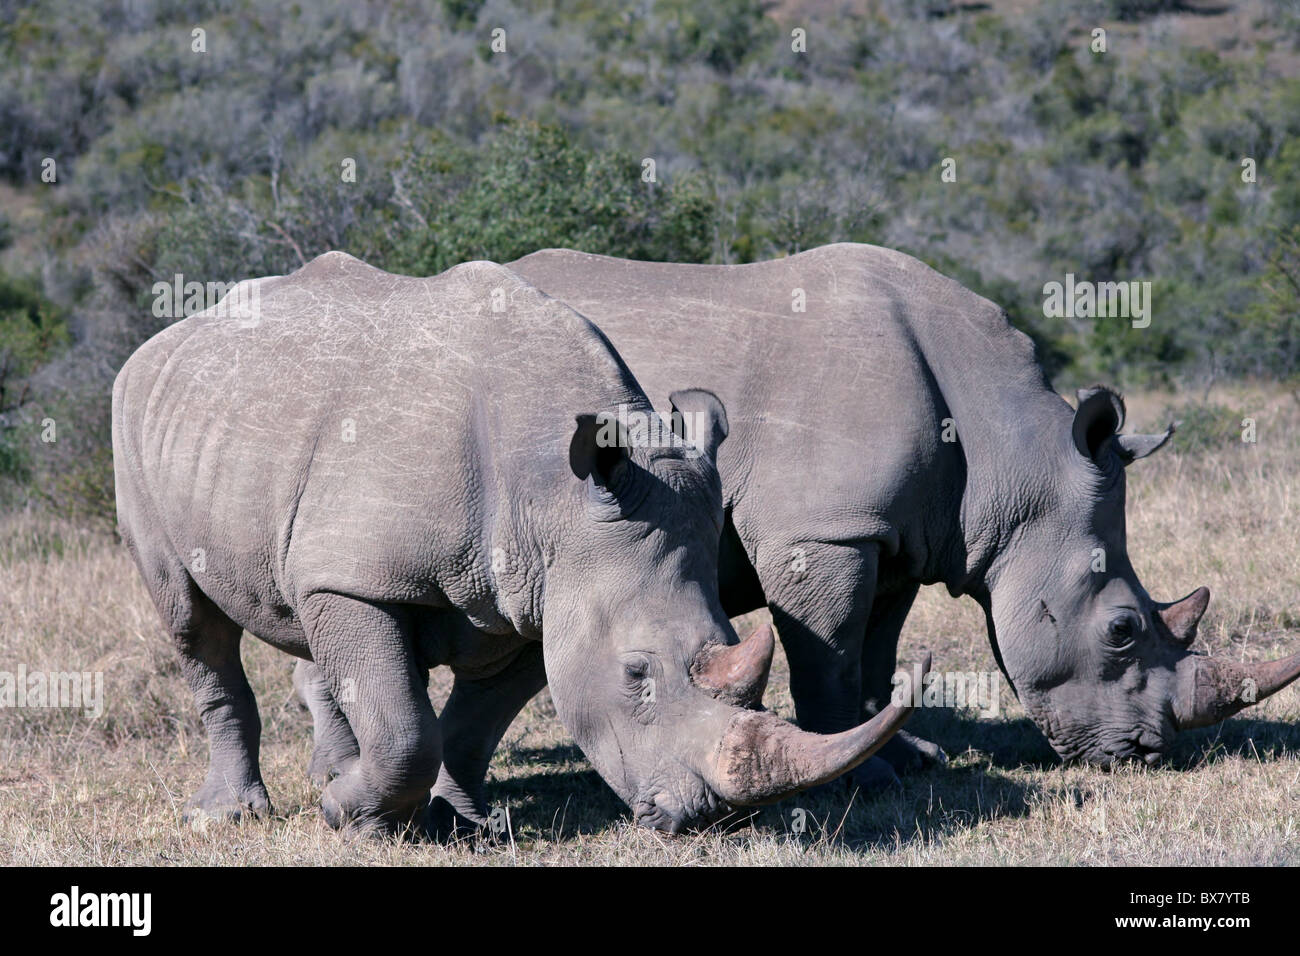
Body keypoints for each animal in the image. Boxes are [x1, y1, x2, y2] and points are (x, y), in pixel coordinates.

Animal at [112, 251, 915, 836]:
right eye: (636, 674)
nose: (701, 818)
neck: (554, 497)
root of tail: (165, 340)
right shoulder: (358, 578)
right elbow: (407, 727)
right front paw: (352, 819)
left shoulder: (545, 591)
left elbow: (474, 723)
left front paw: (458, 823)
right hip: (135, 415)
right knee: (193, 623)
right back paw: (229, 817)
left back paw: (327, 779)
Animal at [494, 243, 1300, 776]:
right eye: (1123, 630)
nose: (1149, 753)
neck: (1014, 457)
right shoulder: (824, 531)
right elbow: (829, 654)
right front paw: (860, 773)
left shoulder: (899, 535)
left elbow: (877, 651)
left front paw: (909, 754)